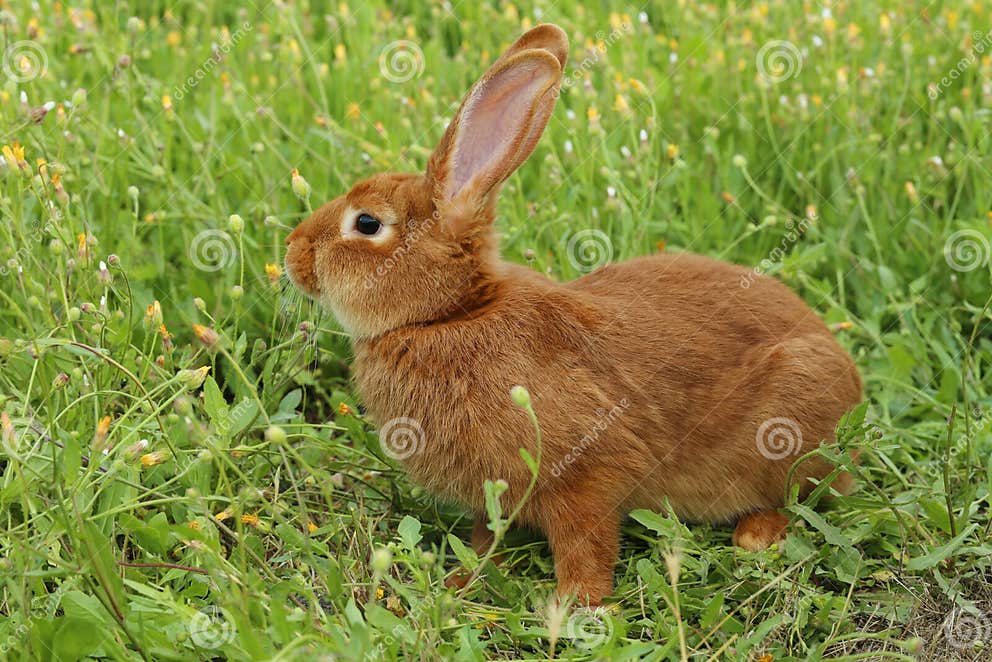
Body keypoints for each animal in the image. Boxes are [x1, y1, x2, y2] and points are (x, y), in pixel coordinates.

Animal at [284, 23, 862, 605]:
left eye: (366, 223)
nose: (292, 252)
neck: (452, 315)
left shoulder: (586, 474)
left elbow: (586, 539)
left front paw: (575, 604)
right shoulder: (494, 499)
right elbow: (485, 535)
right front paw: (464, 579)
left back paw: (756, 534)